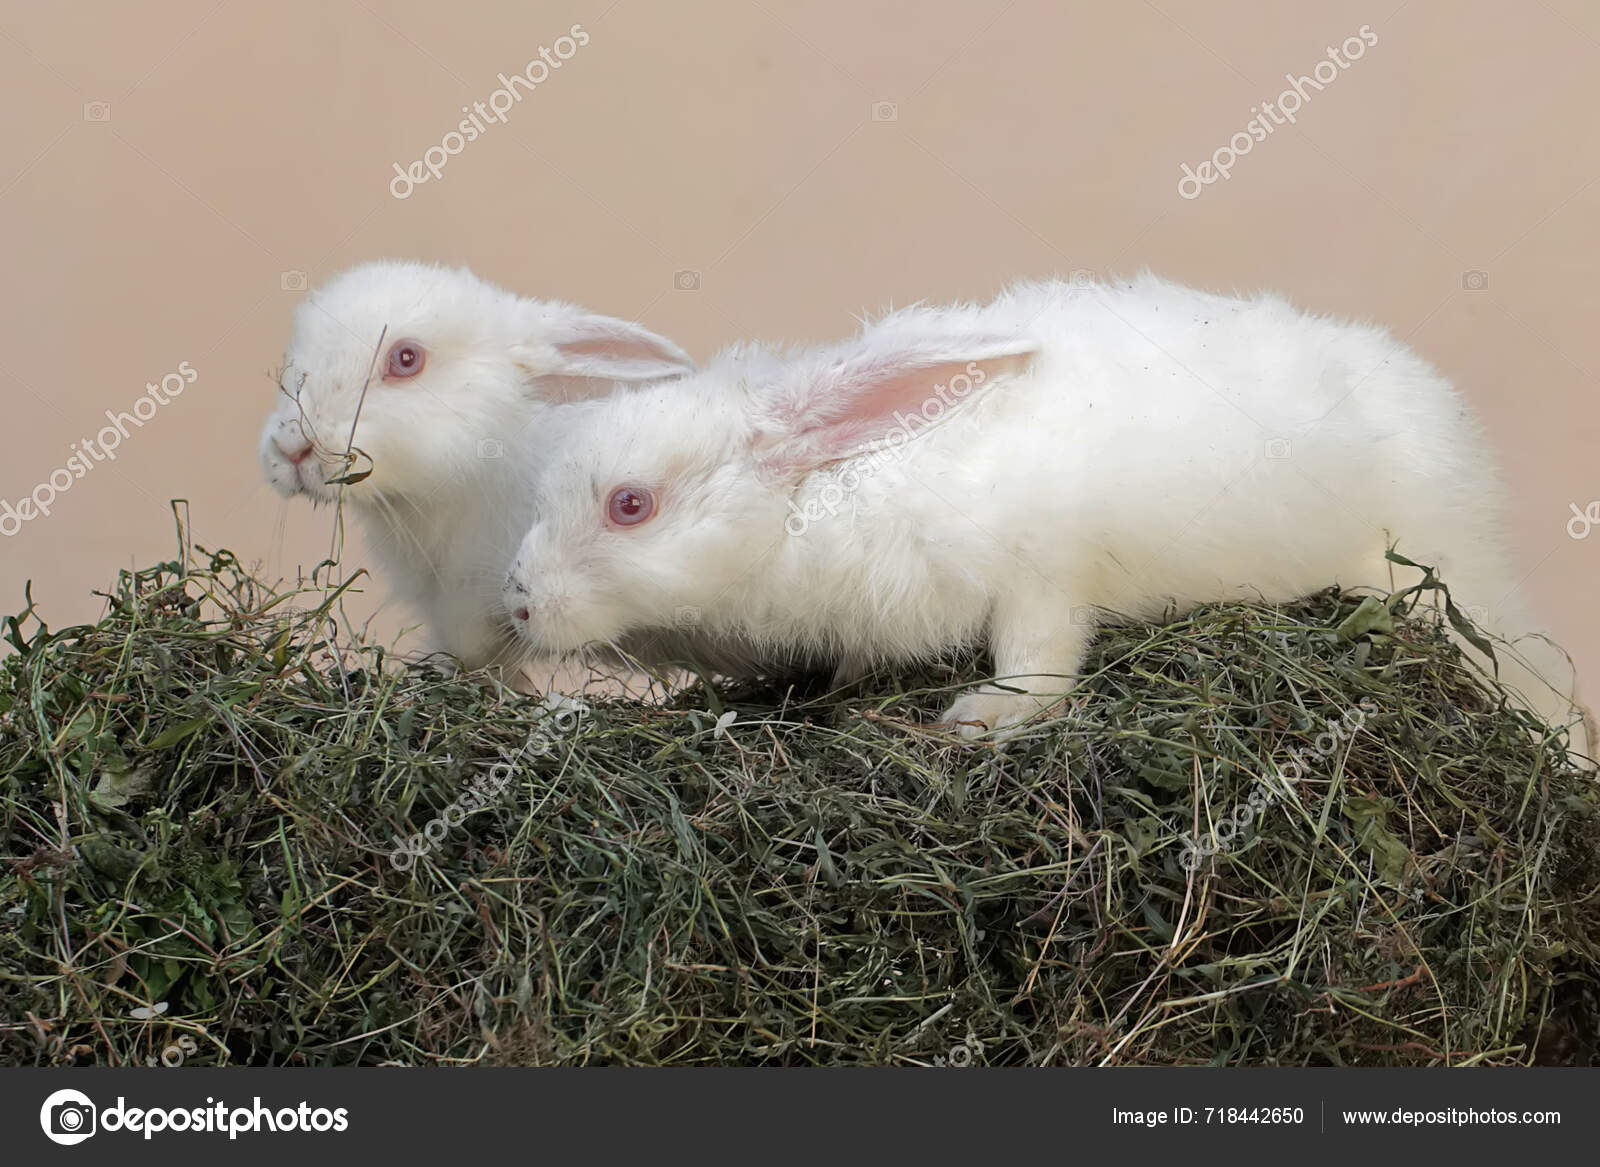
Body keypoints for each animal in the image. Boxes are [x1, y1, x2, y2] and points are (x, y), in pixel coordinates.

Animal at [500, 272, 1593, 761]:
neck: (828, 487)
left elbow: (1039, 662)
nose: (516, 604)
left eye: (630, 506)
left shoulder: (1041, 579)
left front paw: (980, 720)